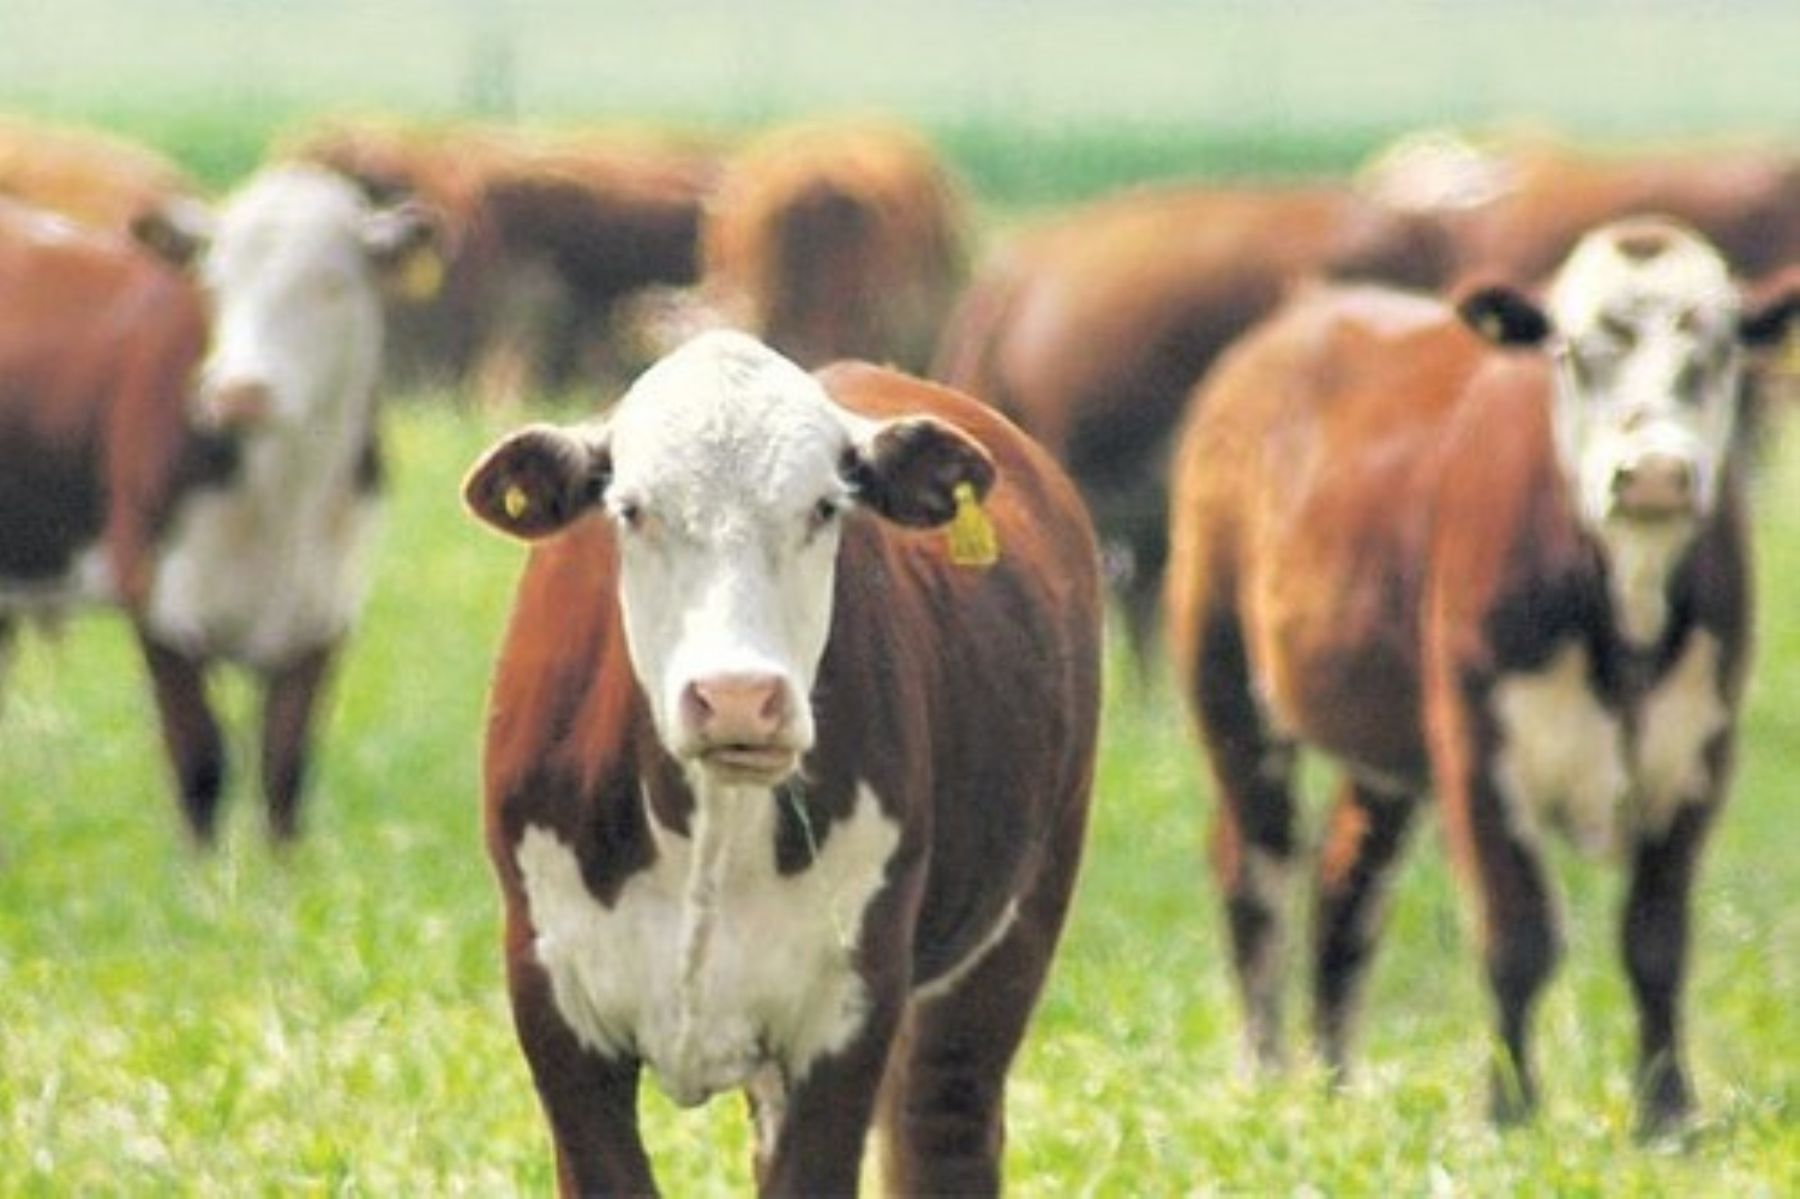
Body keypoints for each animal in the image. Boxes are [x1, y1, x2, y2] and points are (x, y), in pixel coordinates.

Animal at [0, 165, 438, 842]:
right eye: (214, 283)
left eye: (332, 284)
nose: (239, 392)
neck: (283, 496)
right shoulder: (158, 602)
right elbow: (200, 768)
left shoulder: (323, 612)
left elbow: (284, 776)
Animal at [462, 330, 1102, 1194]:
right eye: (631, 509)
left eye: (825, 508)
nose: (737, 696)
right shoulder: (554, 1002)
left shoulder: (848, 1013)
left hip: (1011, 934)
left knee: (947, 1120)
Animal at [1164, 218, 1800, 1135]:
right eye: (1570, 352)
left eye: (1716, 353)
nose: (1652, 475)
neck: (1624, 611)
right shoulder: (1477, 745)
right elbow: (1516, 935)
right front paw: (1508, 1107)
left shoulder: (1698, 753)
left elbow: (1656, 940)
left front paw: (1667, 1112)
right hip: (1228, 687)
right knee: (1255, 863)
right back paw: (1264, 1068)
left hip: (1383, 745)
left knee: (1345, 884)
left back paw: (1336, 1080)